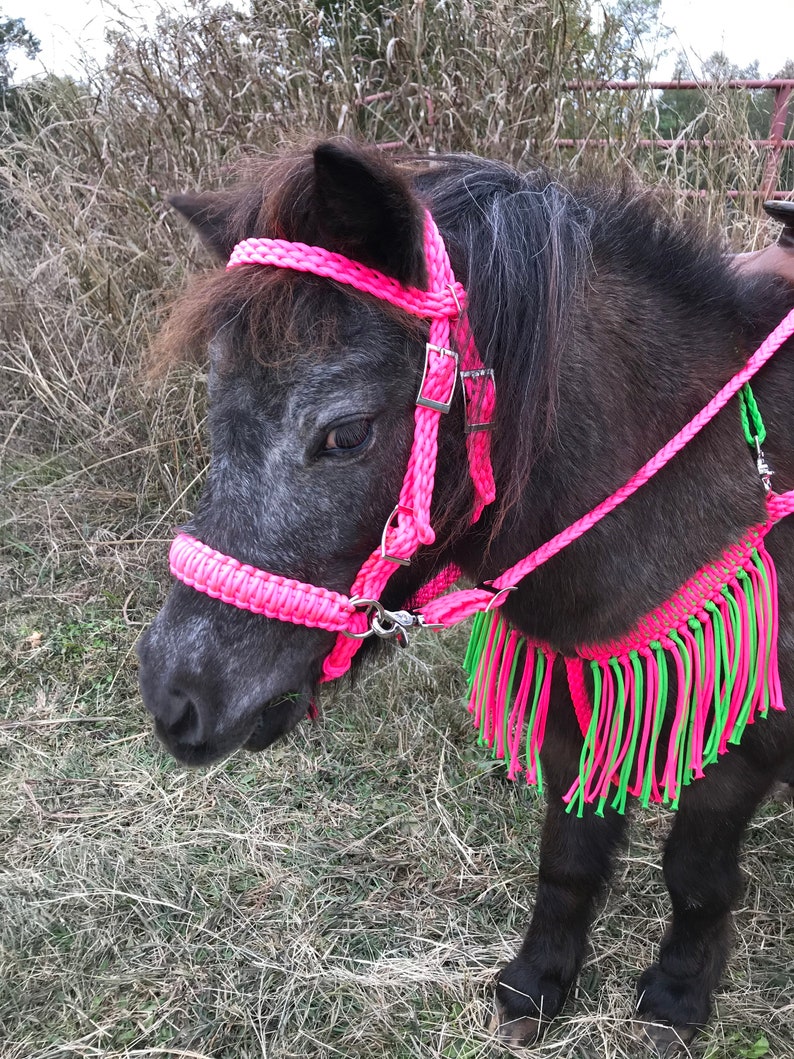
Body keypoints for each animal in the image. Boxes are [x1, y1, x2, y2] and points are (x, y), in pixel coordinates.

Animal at [137, 140, 794, 1050]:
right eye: (213, 406)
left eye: (346, 432)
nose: (176, 697)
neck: (711, 480)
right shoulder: (576, 703)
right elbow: (569, 855)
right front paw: (538, 982)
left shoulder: (745, 736)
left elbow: (694, 871)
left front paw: (676, 995)